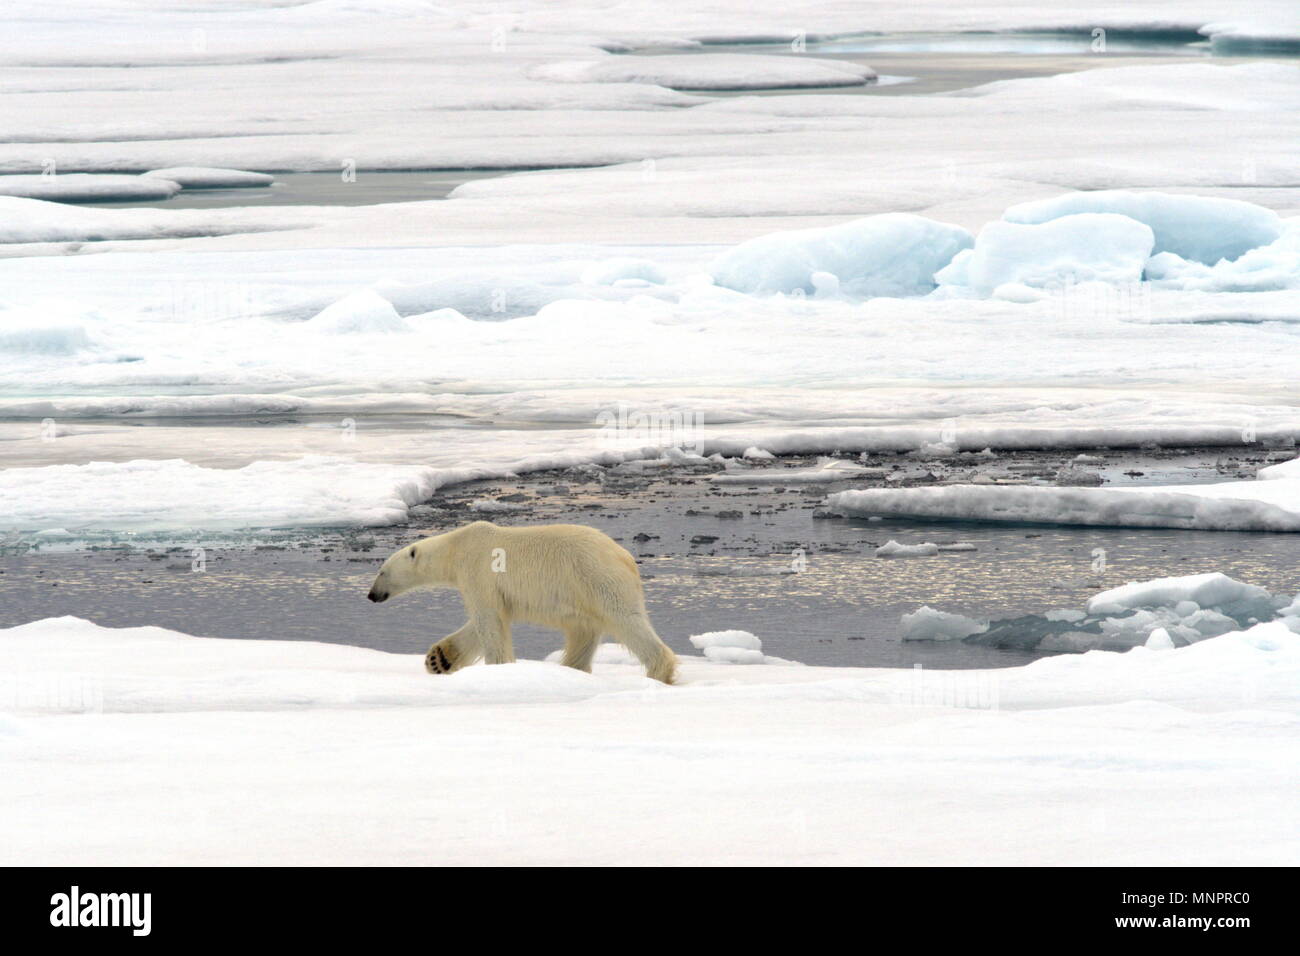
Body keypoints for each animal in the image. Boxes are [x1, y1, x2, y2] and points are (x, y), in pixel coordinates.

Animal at [367, 520, 677, 684]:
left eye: (382, 571)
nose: (371, 595)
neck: (457, 547)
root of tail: (626, 557)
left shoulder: (479, 572)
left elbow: (488, 620)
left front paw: (498, 669)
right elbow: (486, 622)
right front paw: (439, 659)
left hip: (596, 579)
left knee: (626, 621)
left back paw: (658, 672)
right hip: (583, 595)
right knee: (583, 633)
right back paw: (573, 671)